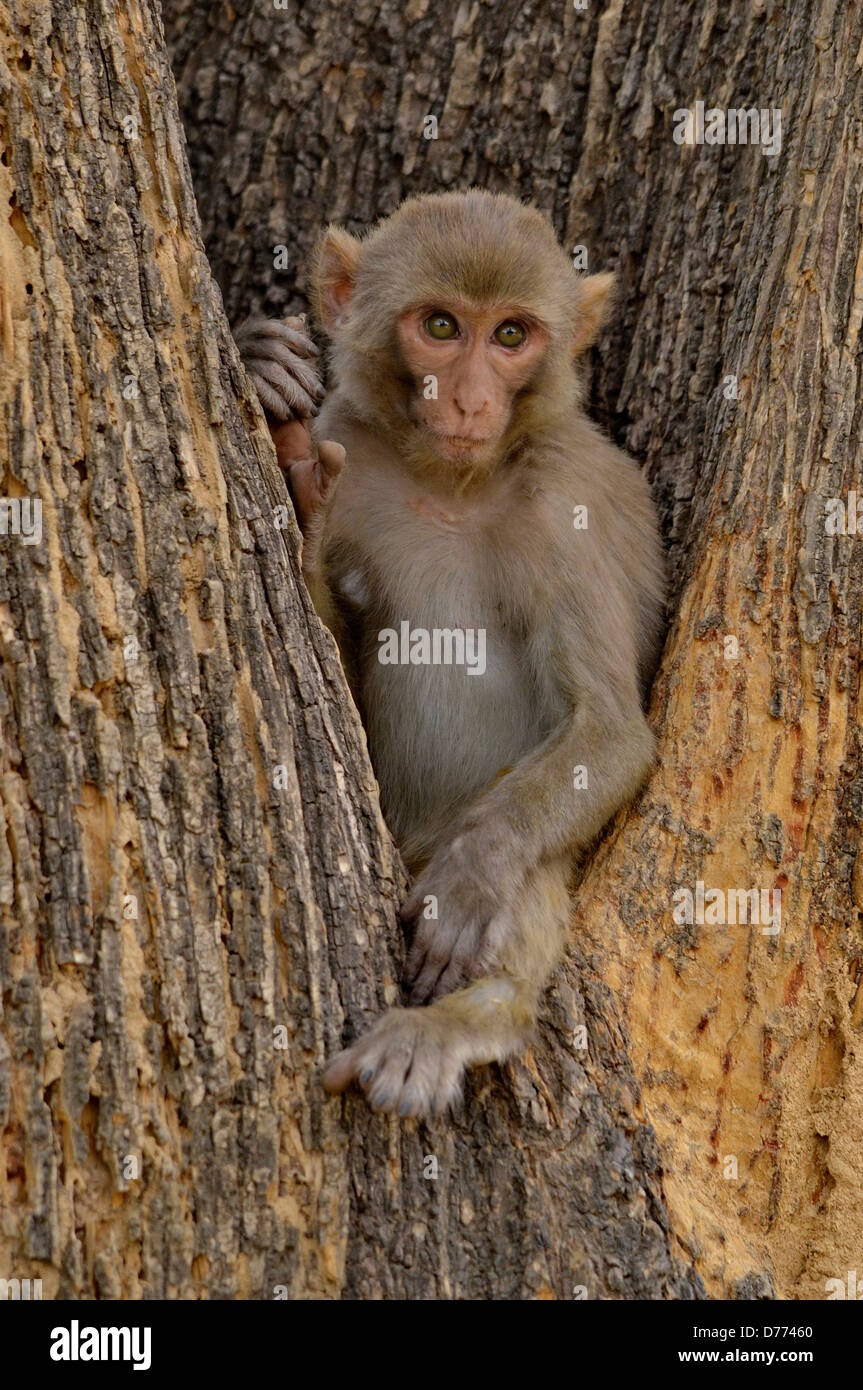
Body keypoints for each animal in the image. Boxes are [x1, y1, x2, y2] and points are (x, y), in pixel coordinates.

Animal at [238, 189, 665, 1119]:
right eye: (440, 326)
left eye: (509, 335)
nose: (469, 401)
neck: (452, 482)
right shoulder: (348, 443)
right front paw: (265, 376)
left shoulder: (568, 496)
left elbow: (610, 731)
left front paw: (474, 876)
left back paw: (464, 1021)